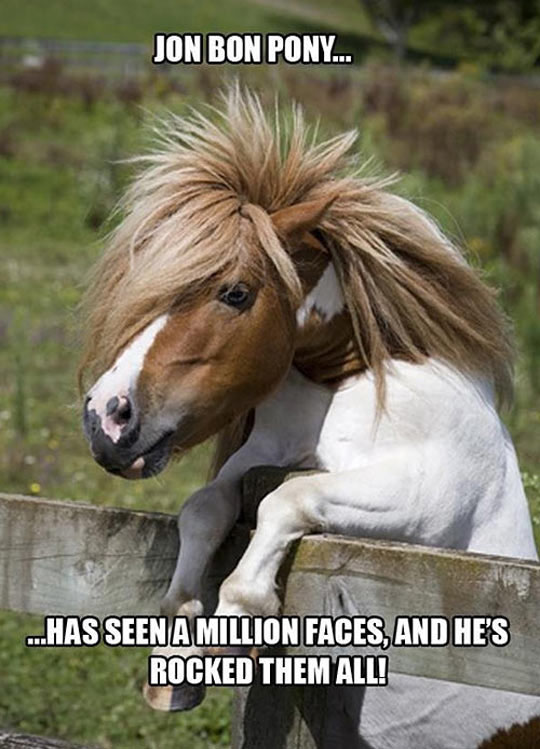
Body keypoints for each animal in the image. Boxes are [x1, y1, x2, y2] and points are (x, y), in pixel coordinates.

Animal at [79, 88, 539, 748]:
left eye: (236, 293)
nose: (105, 419)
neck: (342, 386)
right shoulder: (257, 458)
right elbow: (205, 506)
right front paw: (178, 659)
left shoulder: (425, 501)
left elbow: (288, 500)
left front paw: (240, 613)